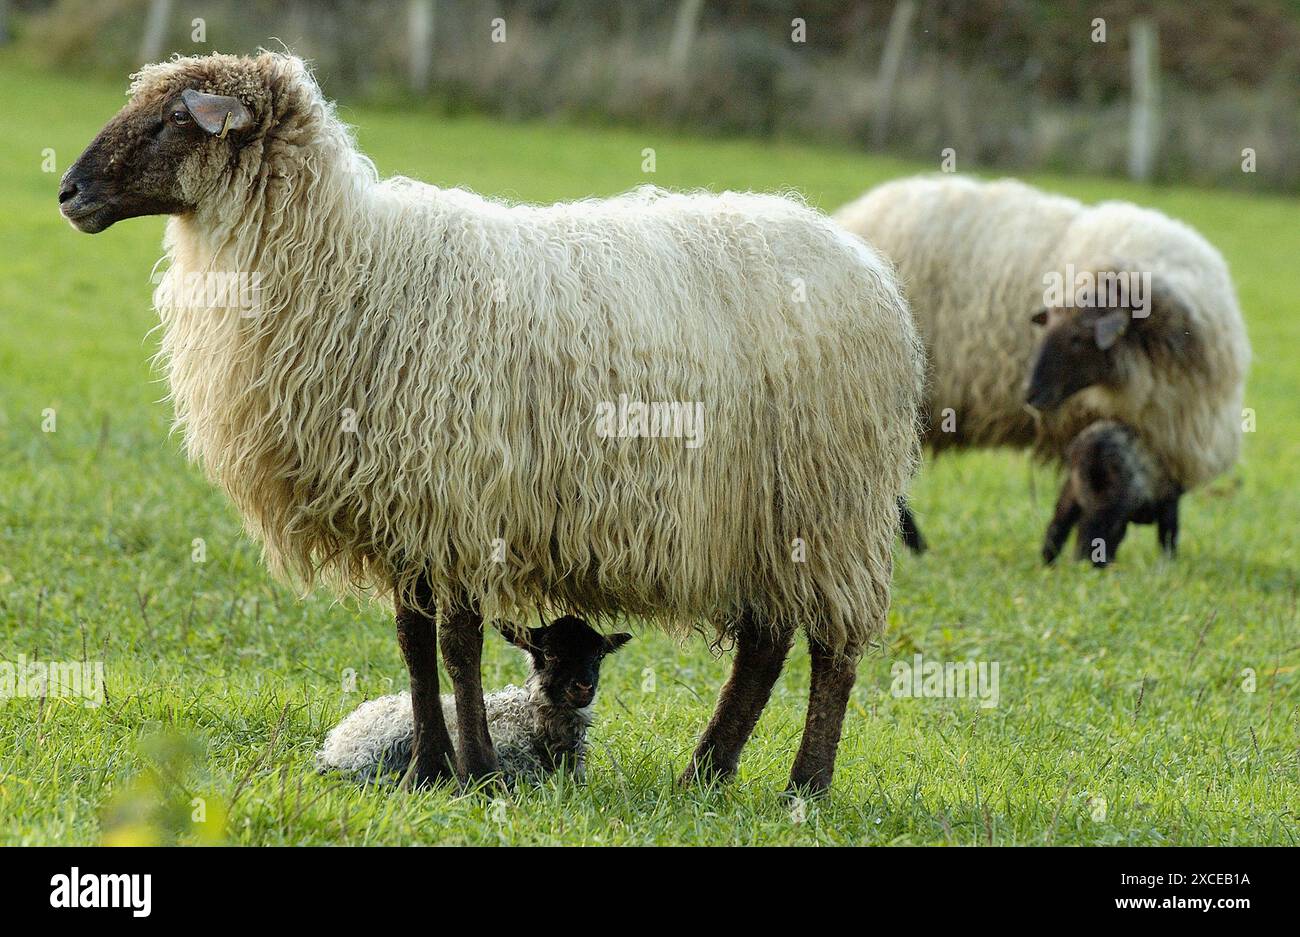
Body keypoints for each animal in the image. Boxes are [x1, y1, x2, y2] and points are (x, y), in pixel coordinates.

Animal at [1042, 420, 1182, 567]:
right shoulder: (1168, 498)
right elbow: (1169, 534)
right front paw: (1168, 562)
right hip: (1108, 497)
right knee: (1091, 529)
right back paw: (1090, 564)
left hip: (1074, 489)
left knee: (1059, 523)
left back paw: (1050, 562)